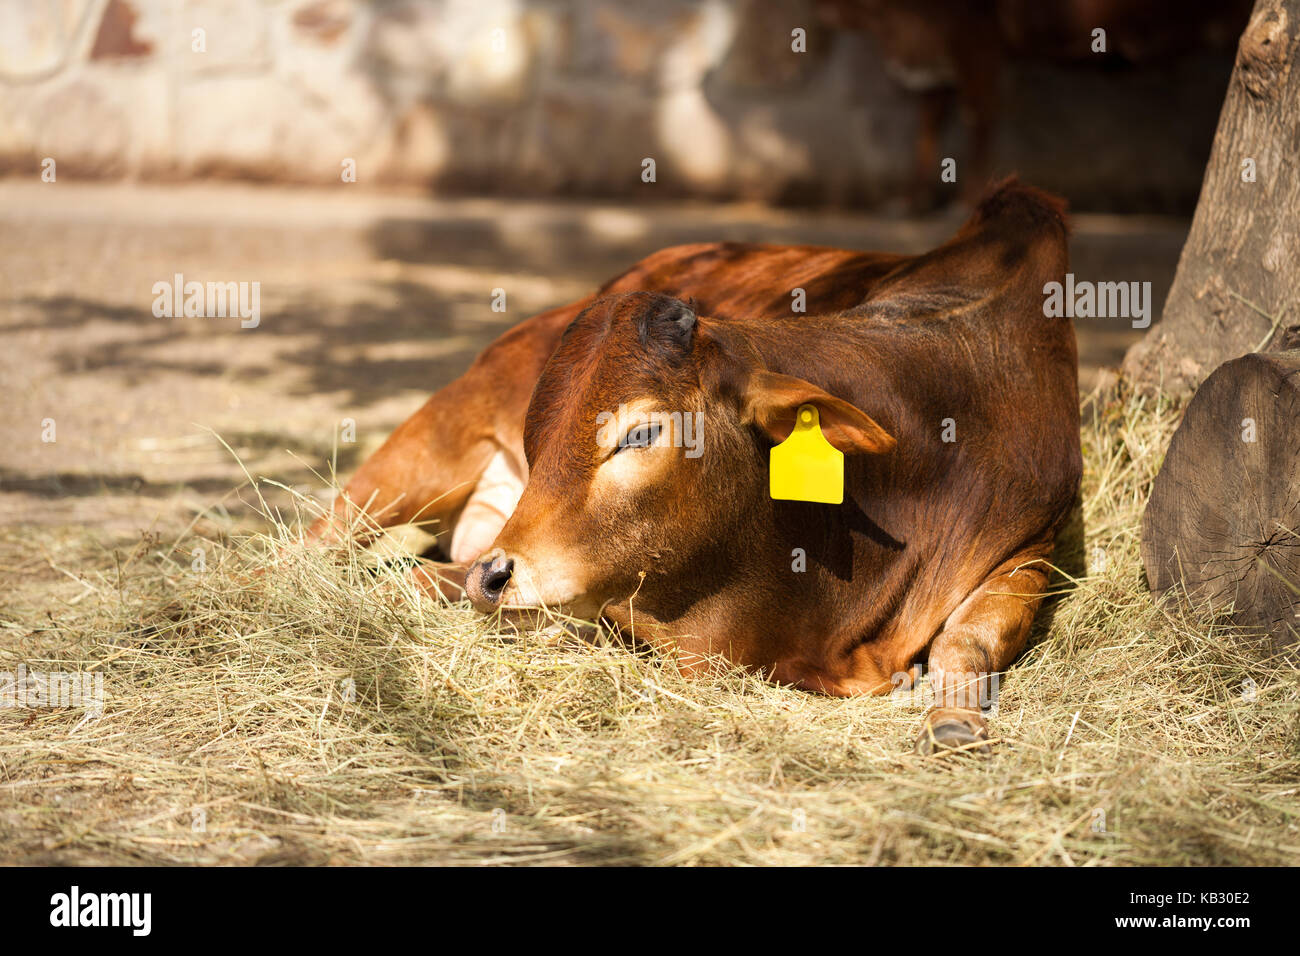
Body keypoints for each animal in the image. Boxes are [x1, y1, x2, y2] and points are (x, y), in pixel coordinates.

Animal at [308, 179, 1081, 753]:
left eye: (644, 432)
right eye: (536, 438)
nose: (495, 576)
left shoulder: (1028, 548)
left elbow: (972, 640)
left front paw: (952, 719)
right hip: (426, 448)